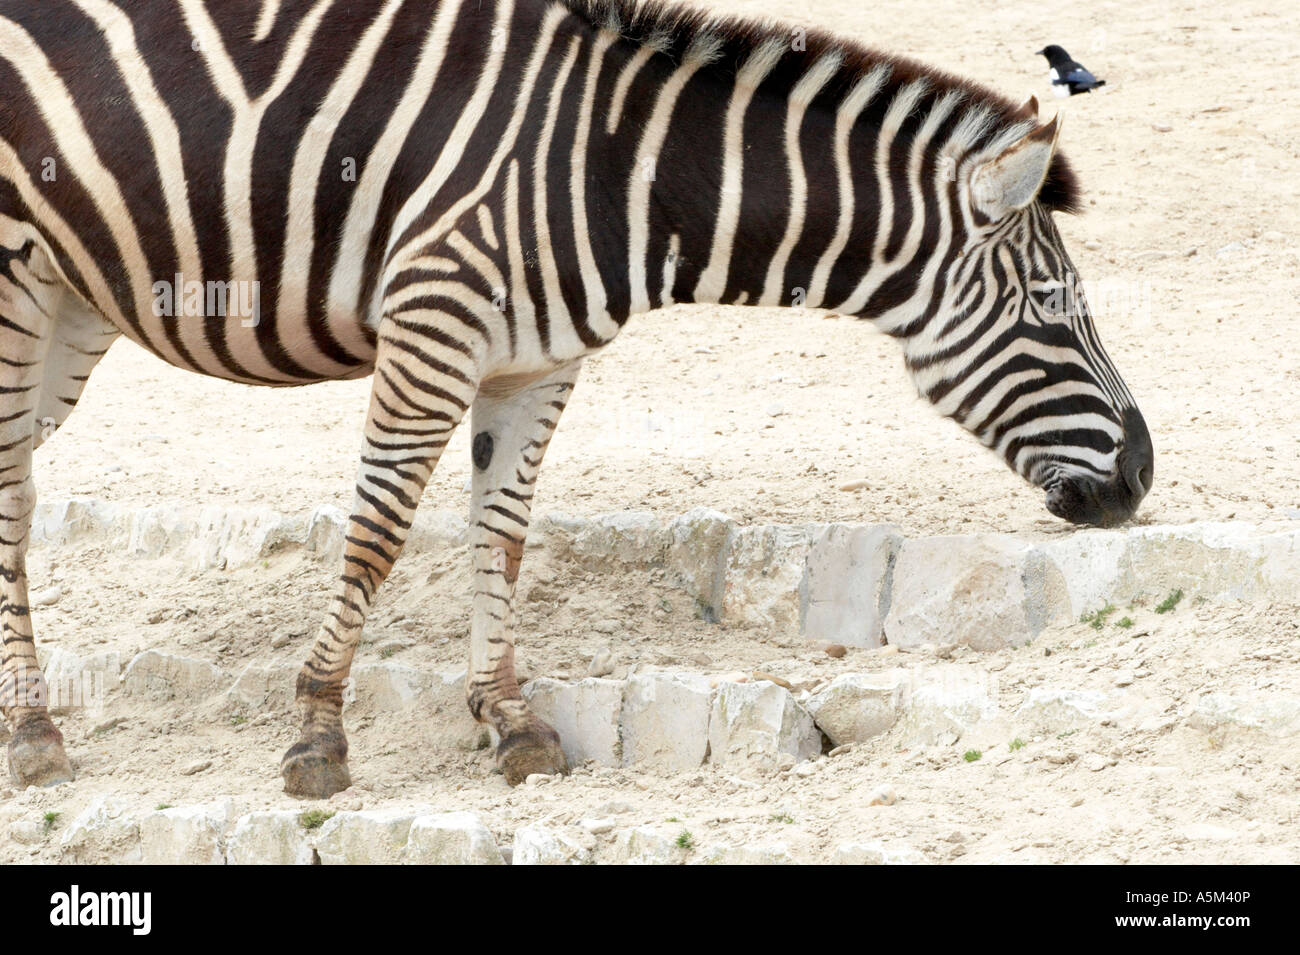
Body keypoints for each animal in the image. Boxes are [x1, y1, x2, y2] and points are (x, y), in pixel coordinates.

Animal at [0, 0, 1153, 796]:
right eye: (1054, 306)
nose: (1142, 474)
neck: (617, 174)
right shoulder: (433, 321)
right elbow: (377, 532)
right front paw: (318, 733)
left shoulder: (533, 361)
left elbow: (502, 533)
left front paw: (510, 722)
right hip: (14, 281)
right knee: (12, 496)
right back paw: (32, 736)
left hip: (68, 298)